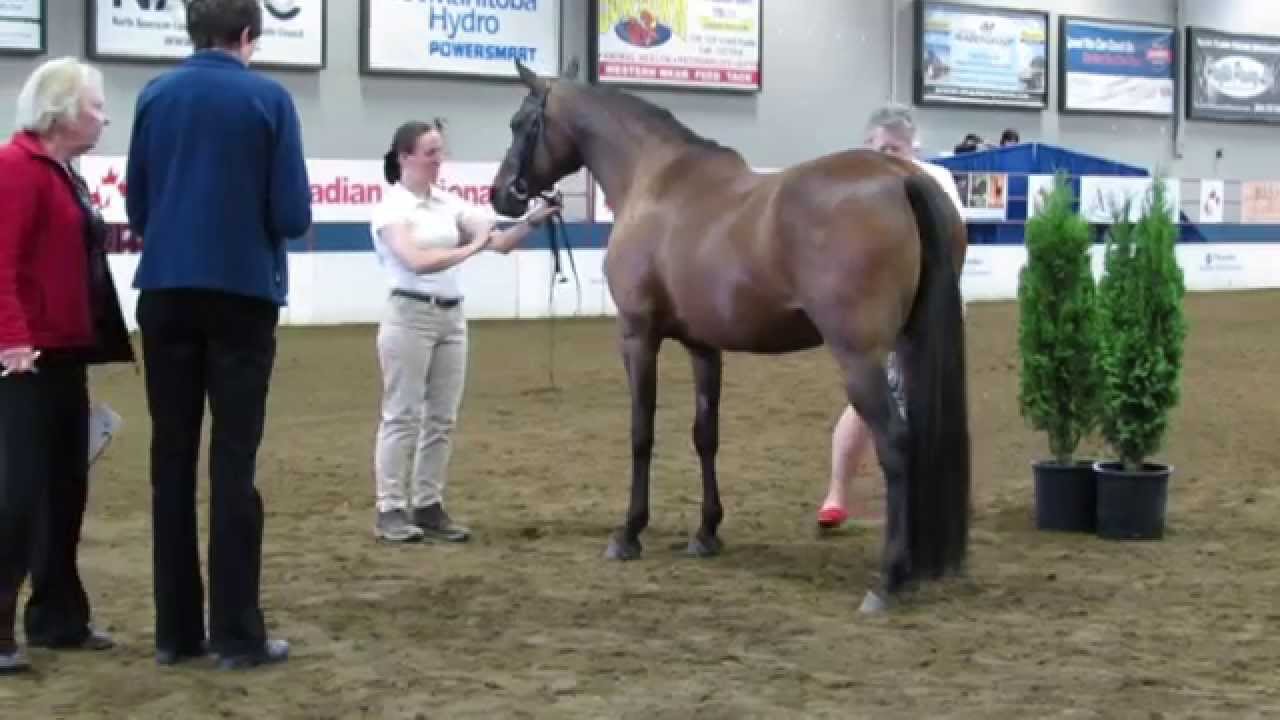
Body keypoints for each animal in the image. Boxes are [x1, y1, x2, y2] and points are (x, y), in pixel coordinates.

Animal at [490, 58, 971, 612]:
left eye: (521, 123)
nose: (499, 194)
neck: (654, 181)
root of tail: (900, 179)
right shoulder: (704, 346)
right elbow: (706, 435)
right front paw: (706, 532)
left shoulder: (637, 336)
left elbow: (641, 432)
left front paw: (628, 533)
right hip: (907, 346)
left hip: (860, 359)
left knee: (894, 442)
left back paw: (888, 579)